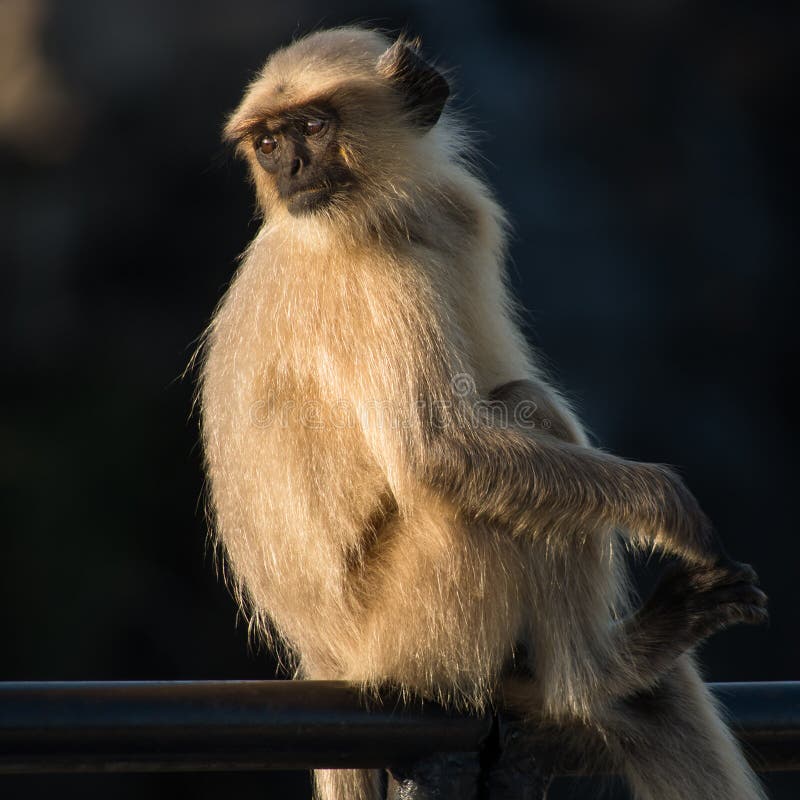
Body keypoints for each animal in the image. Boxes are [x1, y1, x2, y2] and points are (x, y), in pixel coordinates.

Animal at [196, 27, 769, 800]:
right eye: (267, 142)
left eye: (311, 128)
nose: (287, 167)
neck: (390, 211)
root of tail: (325, 656)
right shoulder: (368, 270)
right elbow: (440, 451)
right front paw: (667, 507)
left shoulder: (459, 213)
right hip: (416, 636)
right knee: (513, 431)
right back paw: (598, 674)